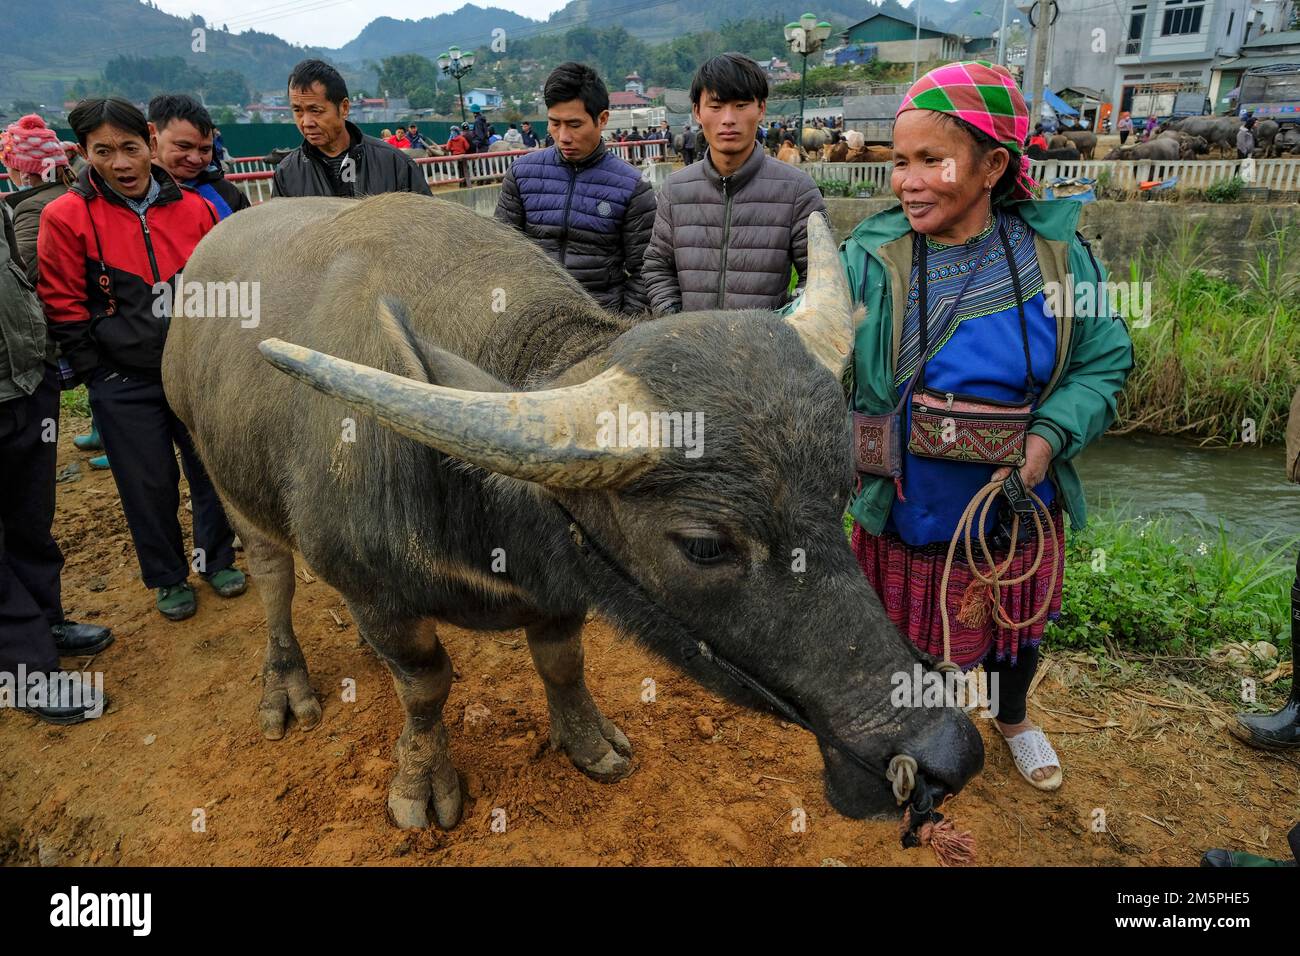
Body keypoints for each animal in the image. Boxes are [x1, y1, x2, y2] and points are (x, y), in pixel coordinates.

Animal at [162, 199, 984, 830]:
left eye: (843, 492)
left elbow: (562, 661)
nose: (946, 752)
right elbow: (424, 688)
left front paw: (590, 745)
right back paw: (284, 685)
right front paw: (421, 784)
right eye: (704, 545)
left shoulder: (564, 586)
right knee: (274, 576)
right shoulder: (376, 592)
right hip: (220, 474)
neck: (477, 501)